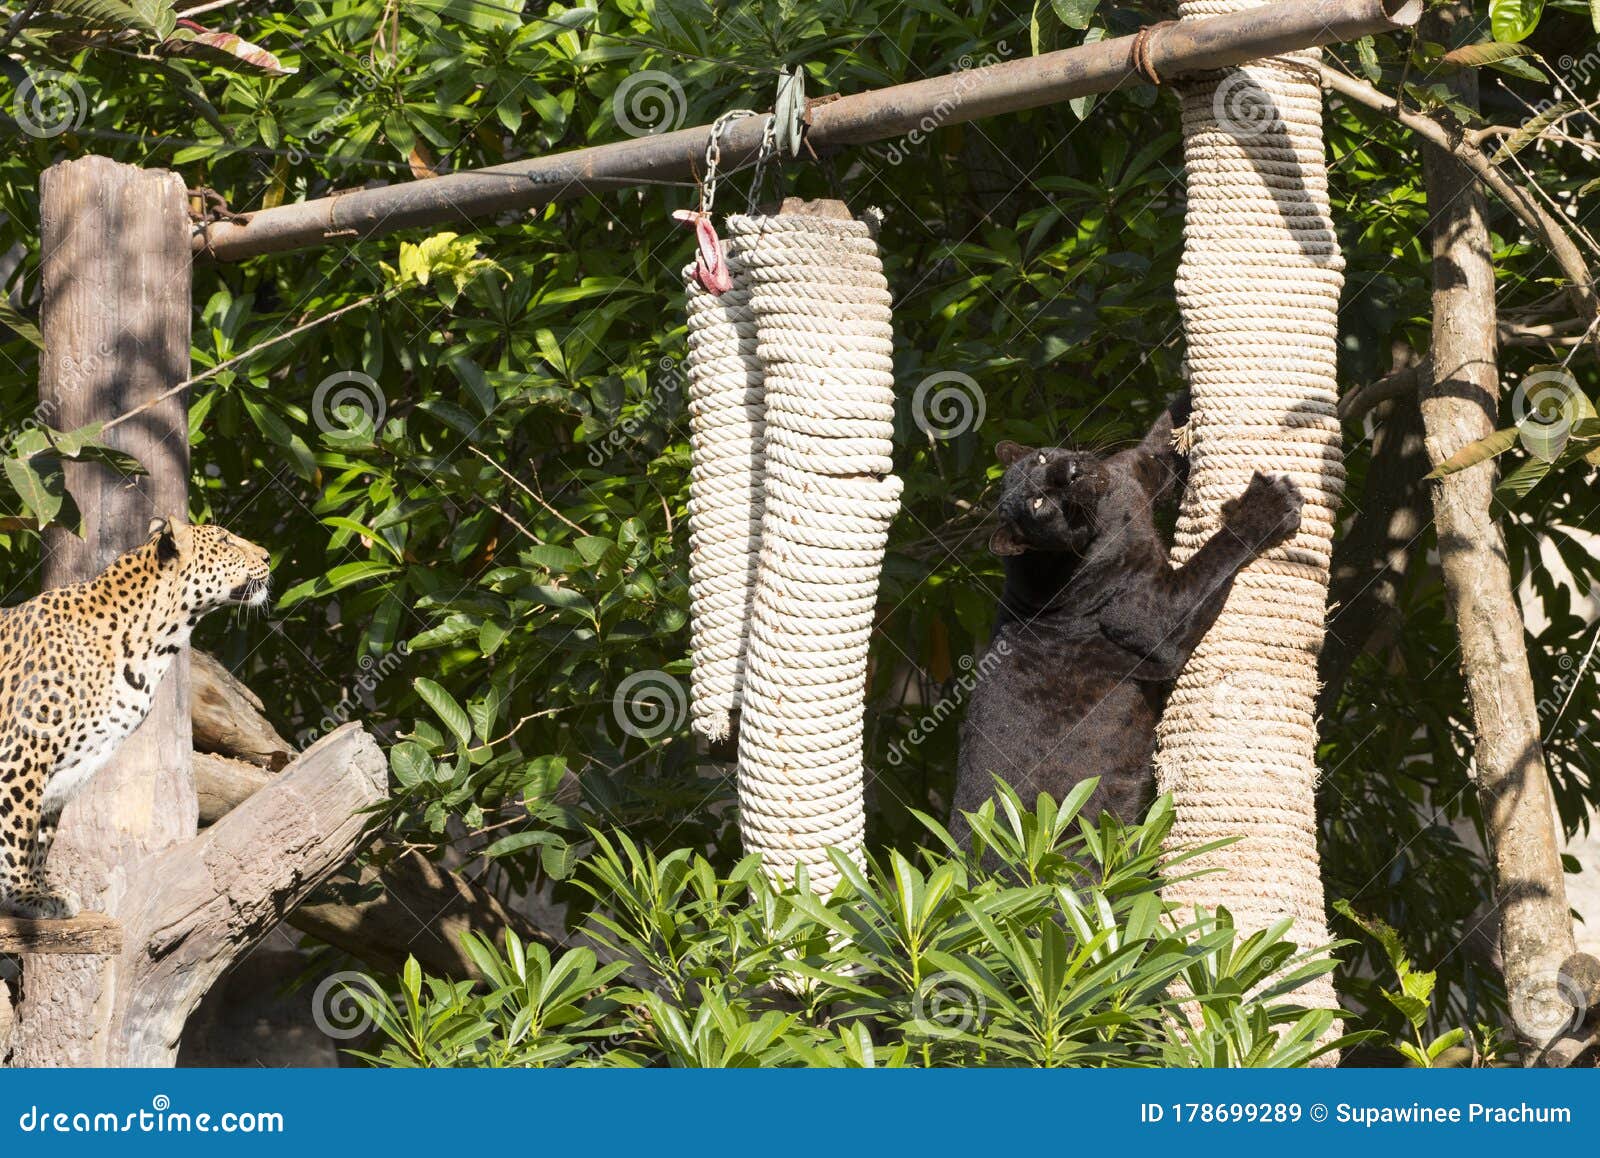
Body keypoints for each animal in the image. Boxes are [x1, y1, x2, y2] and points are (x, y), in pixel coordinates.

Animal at [0, 518, 270, 919]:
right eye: (225, 541)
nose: (268, 557)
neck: (153, 643)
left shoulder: (66, 772)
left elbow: (41, 837)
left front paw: (46, 890)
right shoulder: (23, 748)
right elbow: (19, 829)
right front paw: (26, 895)